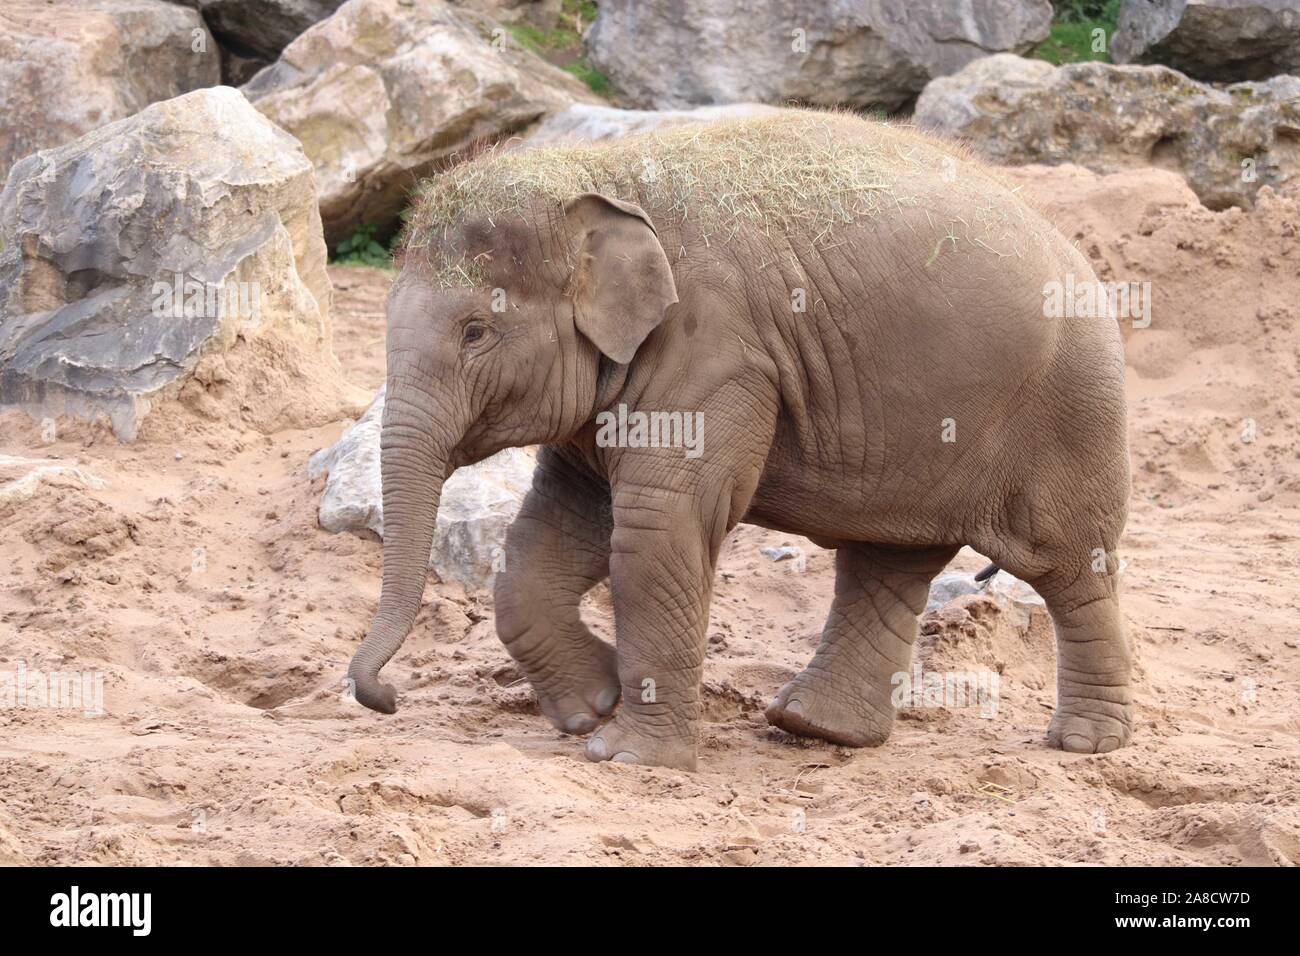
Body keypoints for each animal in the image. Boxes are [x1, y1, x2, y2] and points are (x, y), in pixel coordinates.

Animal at [345, 109, 1132, 771]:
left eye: (475, 331)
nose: (384, 697)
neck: (600, 176)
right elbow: (552, 536)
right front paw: (592, 707)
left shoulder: (716, 355)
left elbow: (654, 529)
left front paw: (626, 756)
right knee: (888, 558)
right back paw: (817, 729)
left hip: (1072, 409)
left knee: (1068, 565)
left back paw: (1084, 745)